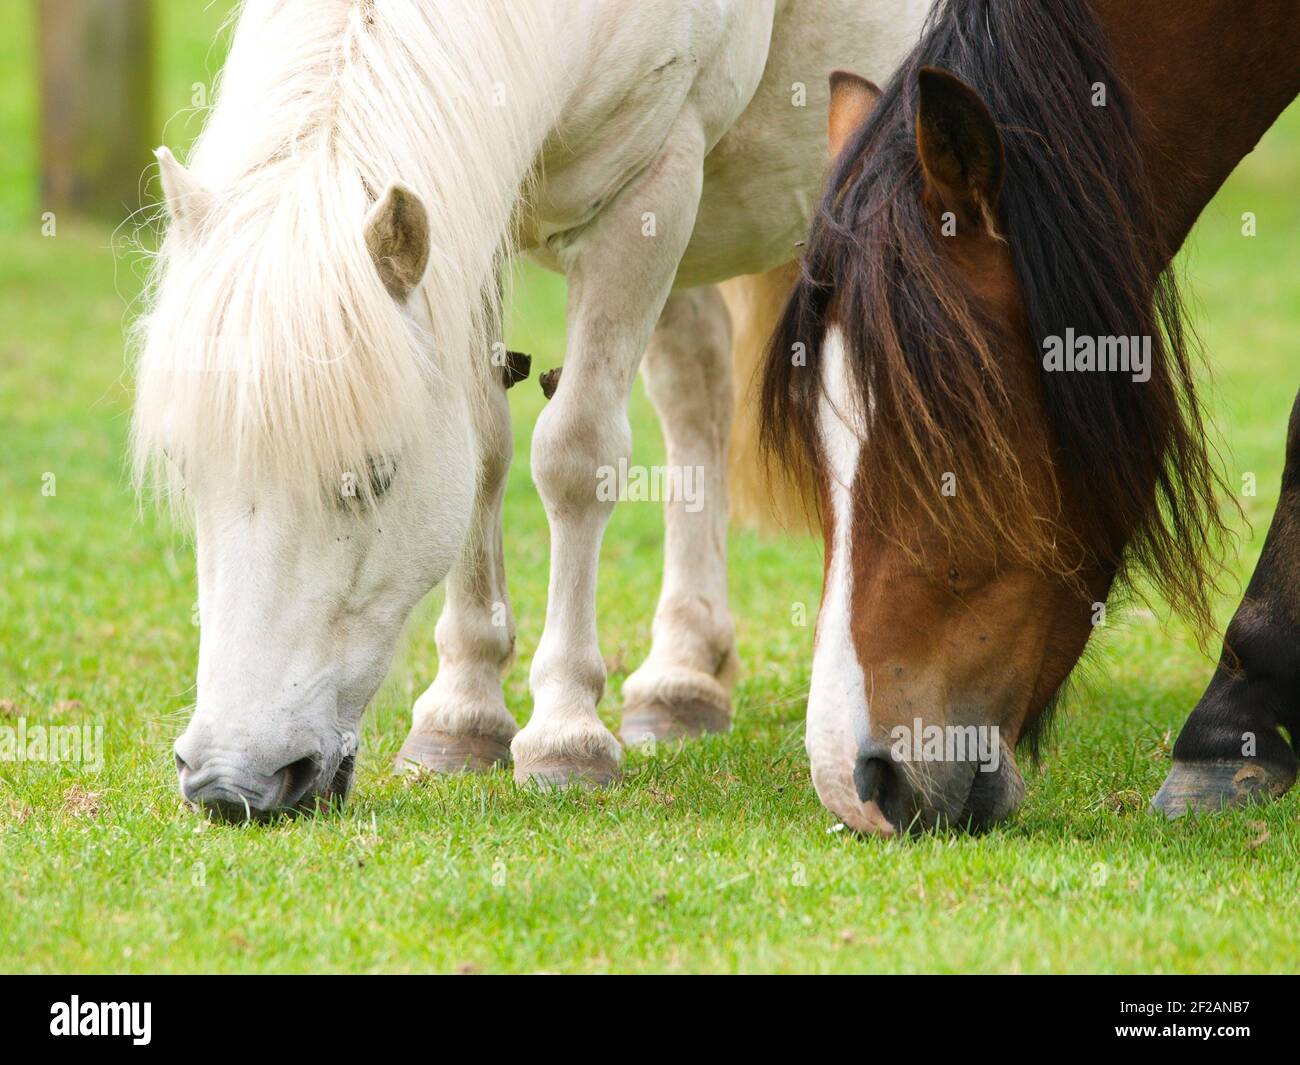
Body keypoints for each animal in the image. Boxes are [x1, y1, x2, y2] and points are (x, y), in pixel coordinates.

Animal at [133, 0, 933, 818]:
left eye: (376, 476)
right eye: (187, 471)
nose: (231, 783)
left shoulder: (657, 183)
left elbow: (577, 458)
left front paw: (565, 733)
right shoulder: (470, 226)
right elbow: (486, 452)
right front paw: (462, 713)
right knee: (694, 389)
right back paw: (682, 676)